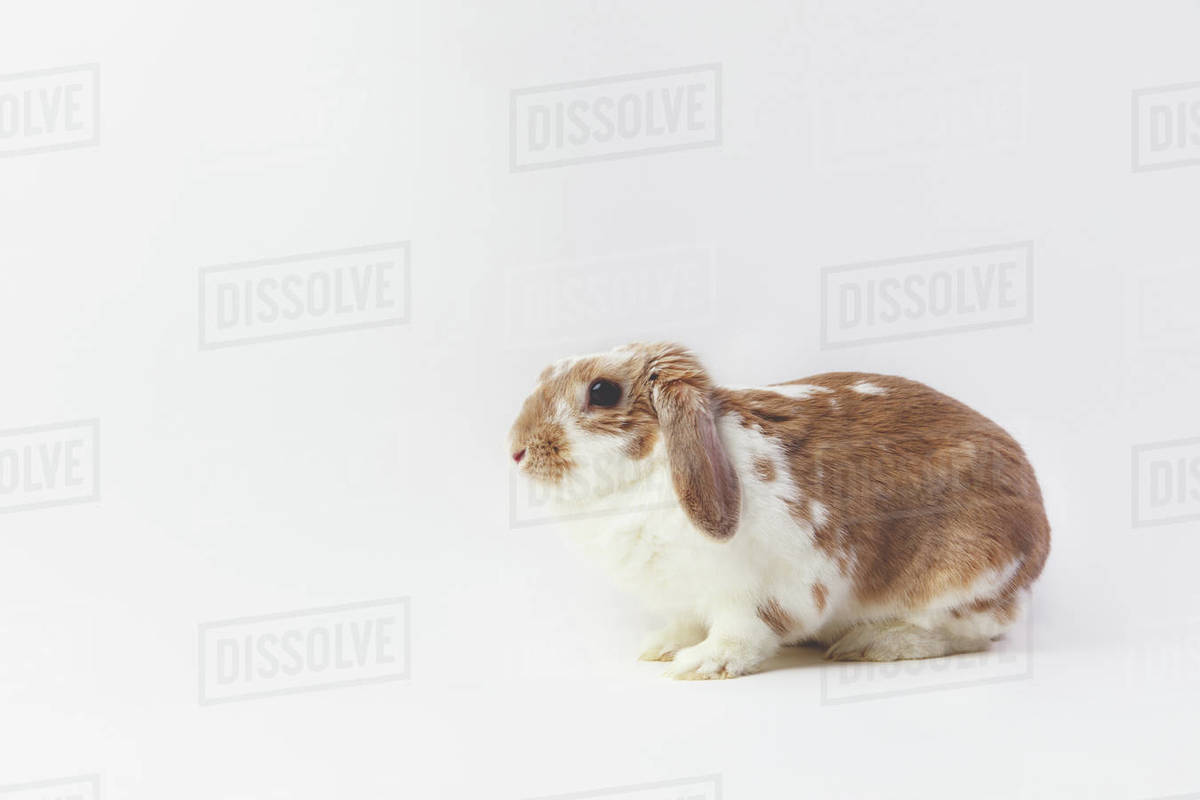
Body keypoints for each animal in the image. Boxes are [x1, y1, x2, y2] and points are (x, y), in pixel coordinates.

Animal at [508, 342, 1050, 680]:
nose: (517, 450)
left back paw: (871, 644)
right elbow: (686, 622)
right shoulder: (689, 594)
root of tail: (1040, 532)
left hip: (962, 576)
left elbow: (742, 633)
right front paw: (663, 647)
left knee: (969, 634)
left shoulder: (761, 590)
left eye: (602, 391)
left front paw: (702, 664)